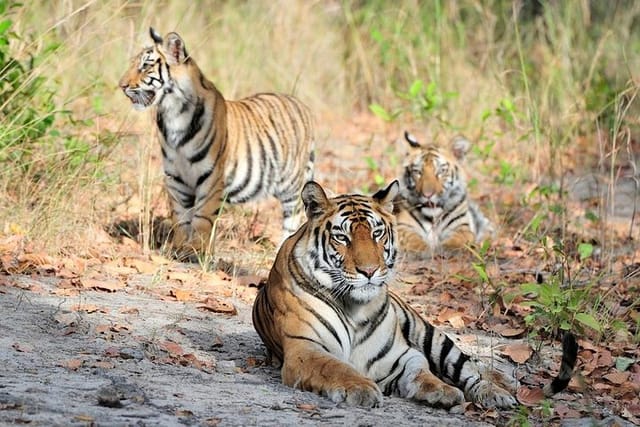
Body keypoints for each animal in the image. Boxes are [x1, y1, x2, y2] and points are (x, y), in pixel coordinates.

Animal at [119, 28, 315, 254]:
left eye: (146, 66)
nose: (121, 85)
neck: (172, 115)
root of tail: (302, 105)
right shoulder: (176, 178)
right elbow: (180, 217)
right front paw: (179, 247)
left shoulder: (211, 177)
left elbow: (202, 217)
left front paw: (195, 250)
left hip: (292, 185)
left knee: (294, 217)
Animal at [252, 180, 577, 408]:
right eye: (342, 237)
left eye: (377, 233)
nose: (369, 271)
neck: (354, 308)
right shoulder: (305, 349)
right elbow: (337, 367)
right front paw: (361, 388)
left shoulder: (401, 354)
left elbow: (422, 371)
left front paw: (442, 391)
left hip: (430, 333)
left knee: (469, 367)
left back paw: (498, 389)